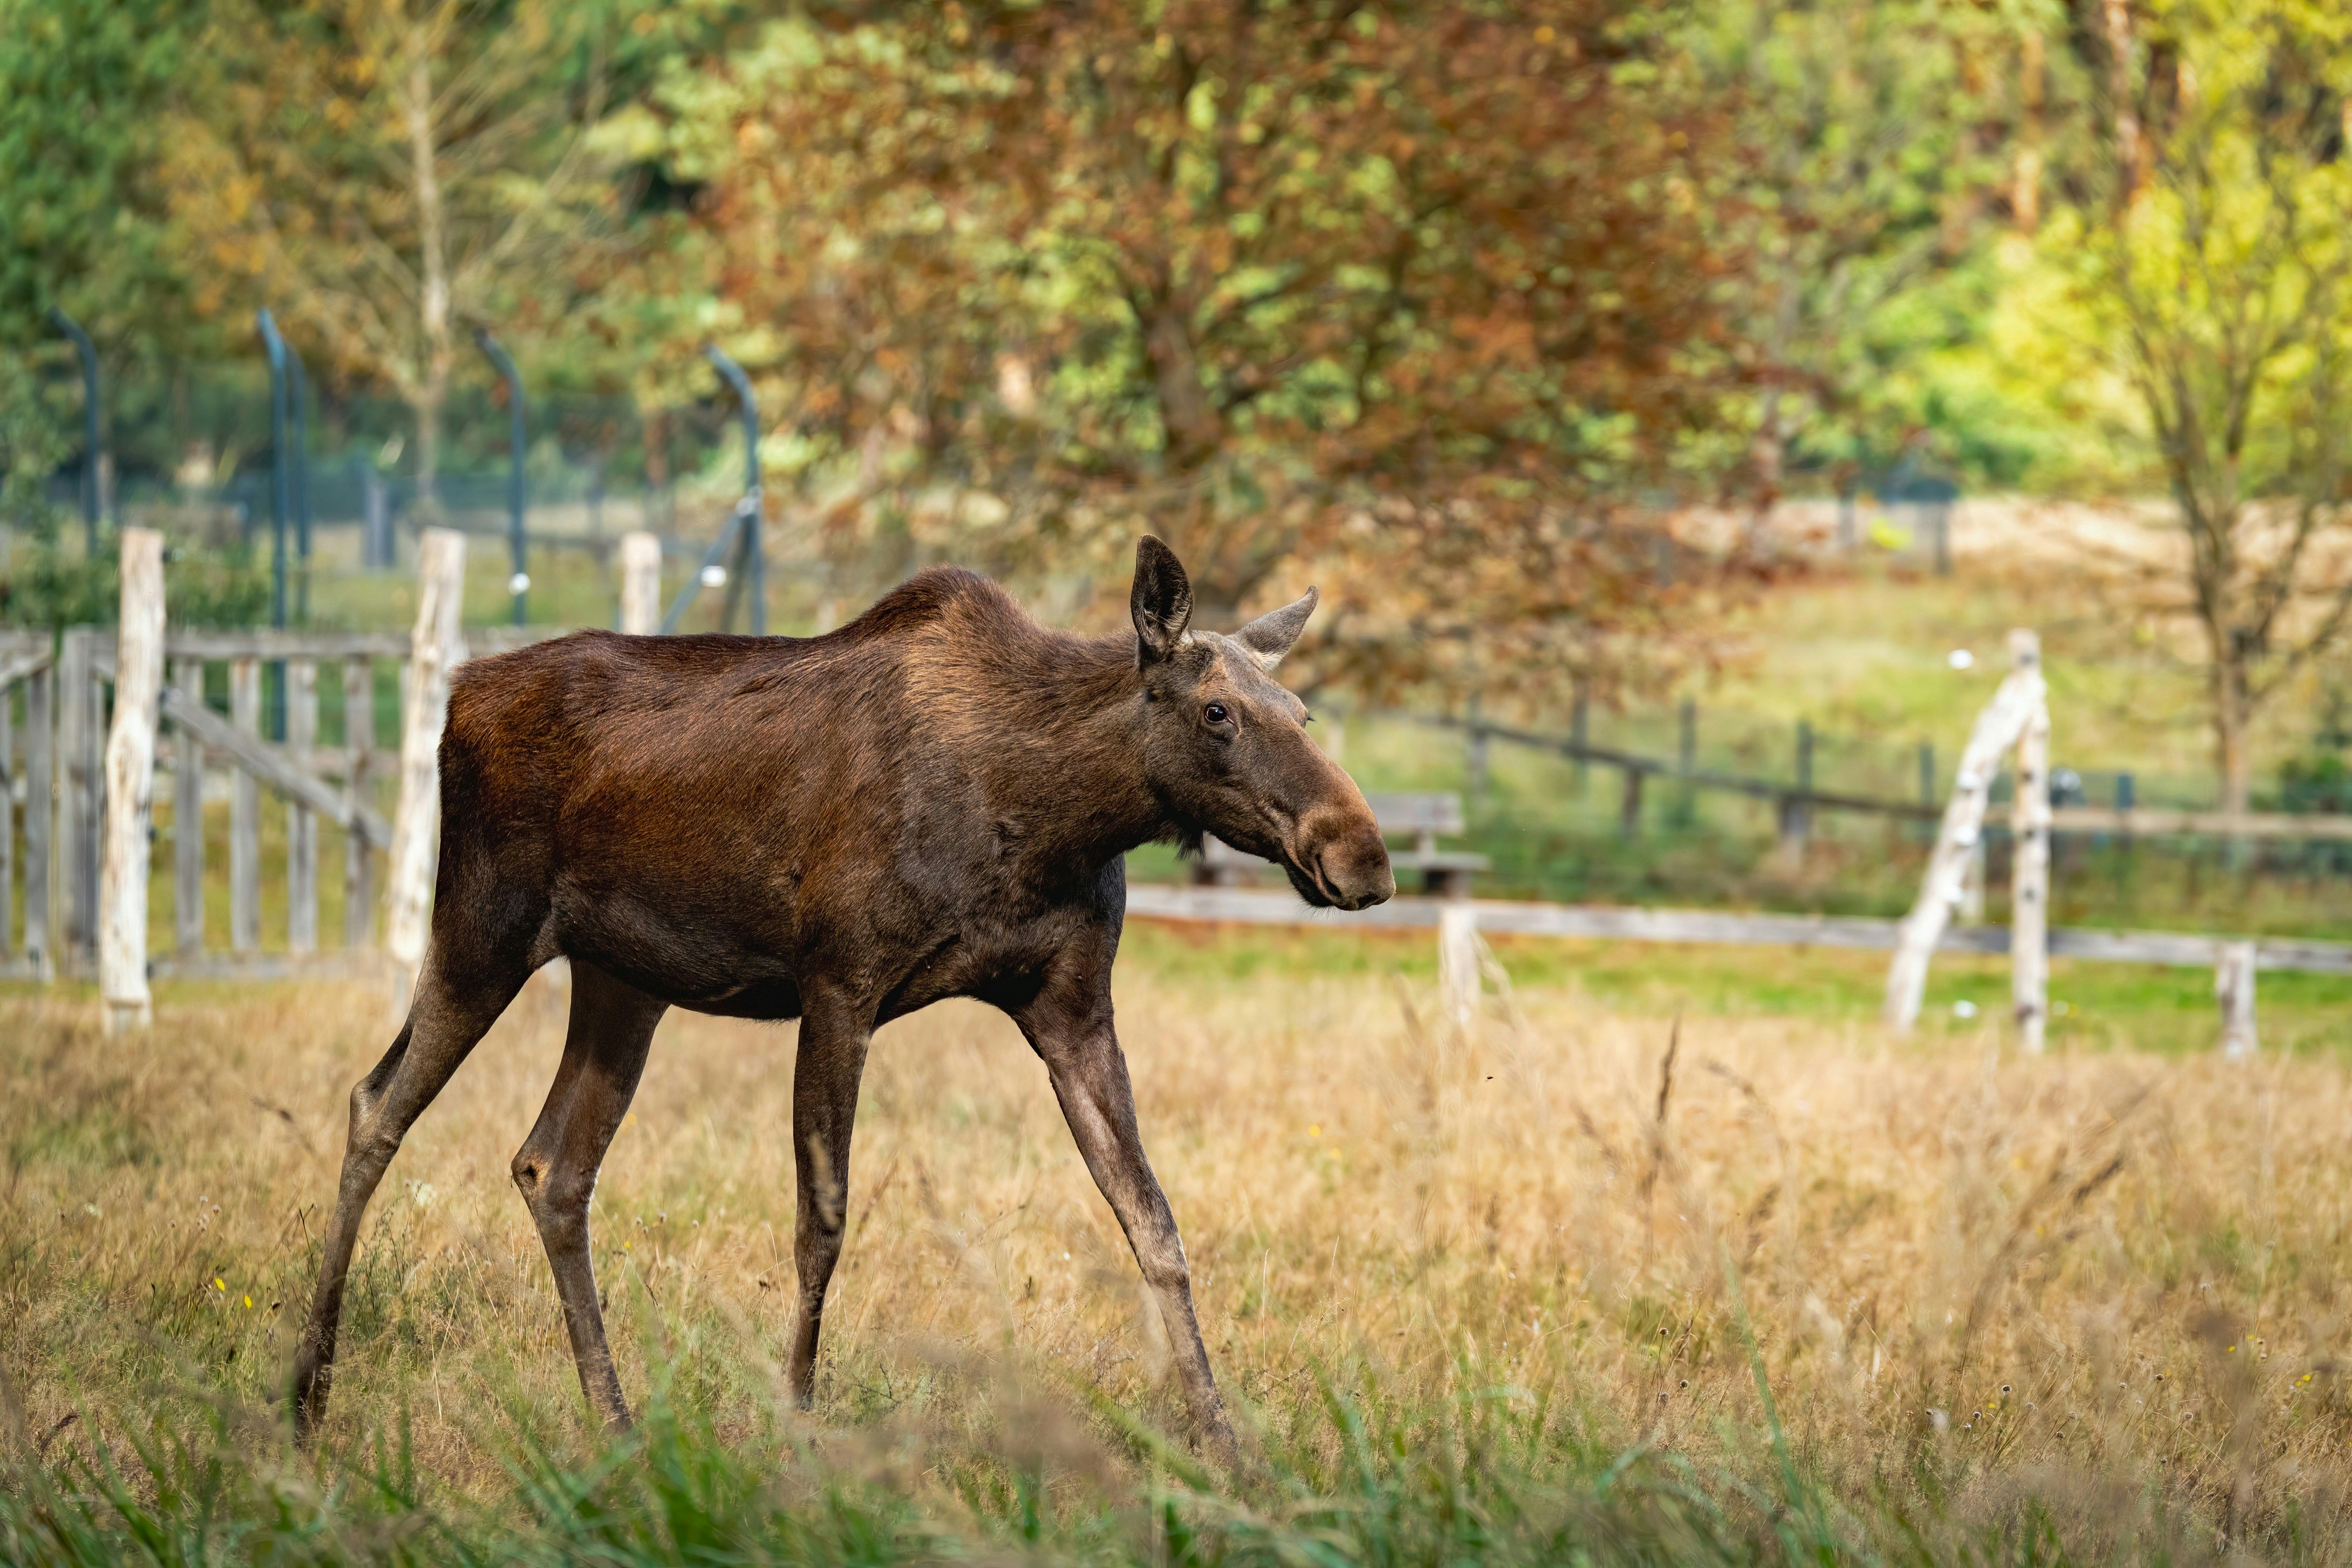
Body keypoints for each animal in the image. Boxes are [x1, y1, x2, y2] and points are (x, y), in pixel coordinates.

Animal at [290, 536, 1394, 1462]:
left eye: (1301, 714)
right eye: (1216, 712)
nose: (1363, 856)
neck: (1055, 814)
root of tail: (457, 694)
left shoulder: (1073, 1008)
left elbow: (1153, 1221)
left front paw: (1226, 1446)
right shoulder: (838, 984)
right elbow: (820, 1219)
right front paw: (797, 1428)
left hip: (621, 981)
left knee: (552, 1165)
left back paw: (615, 1422)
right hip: (481, 928)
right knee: (374, 1106)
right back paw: (306, 1400)